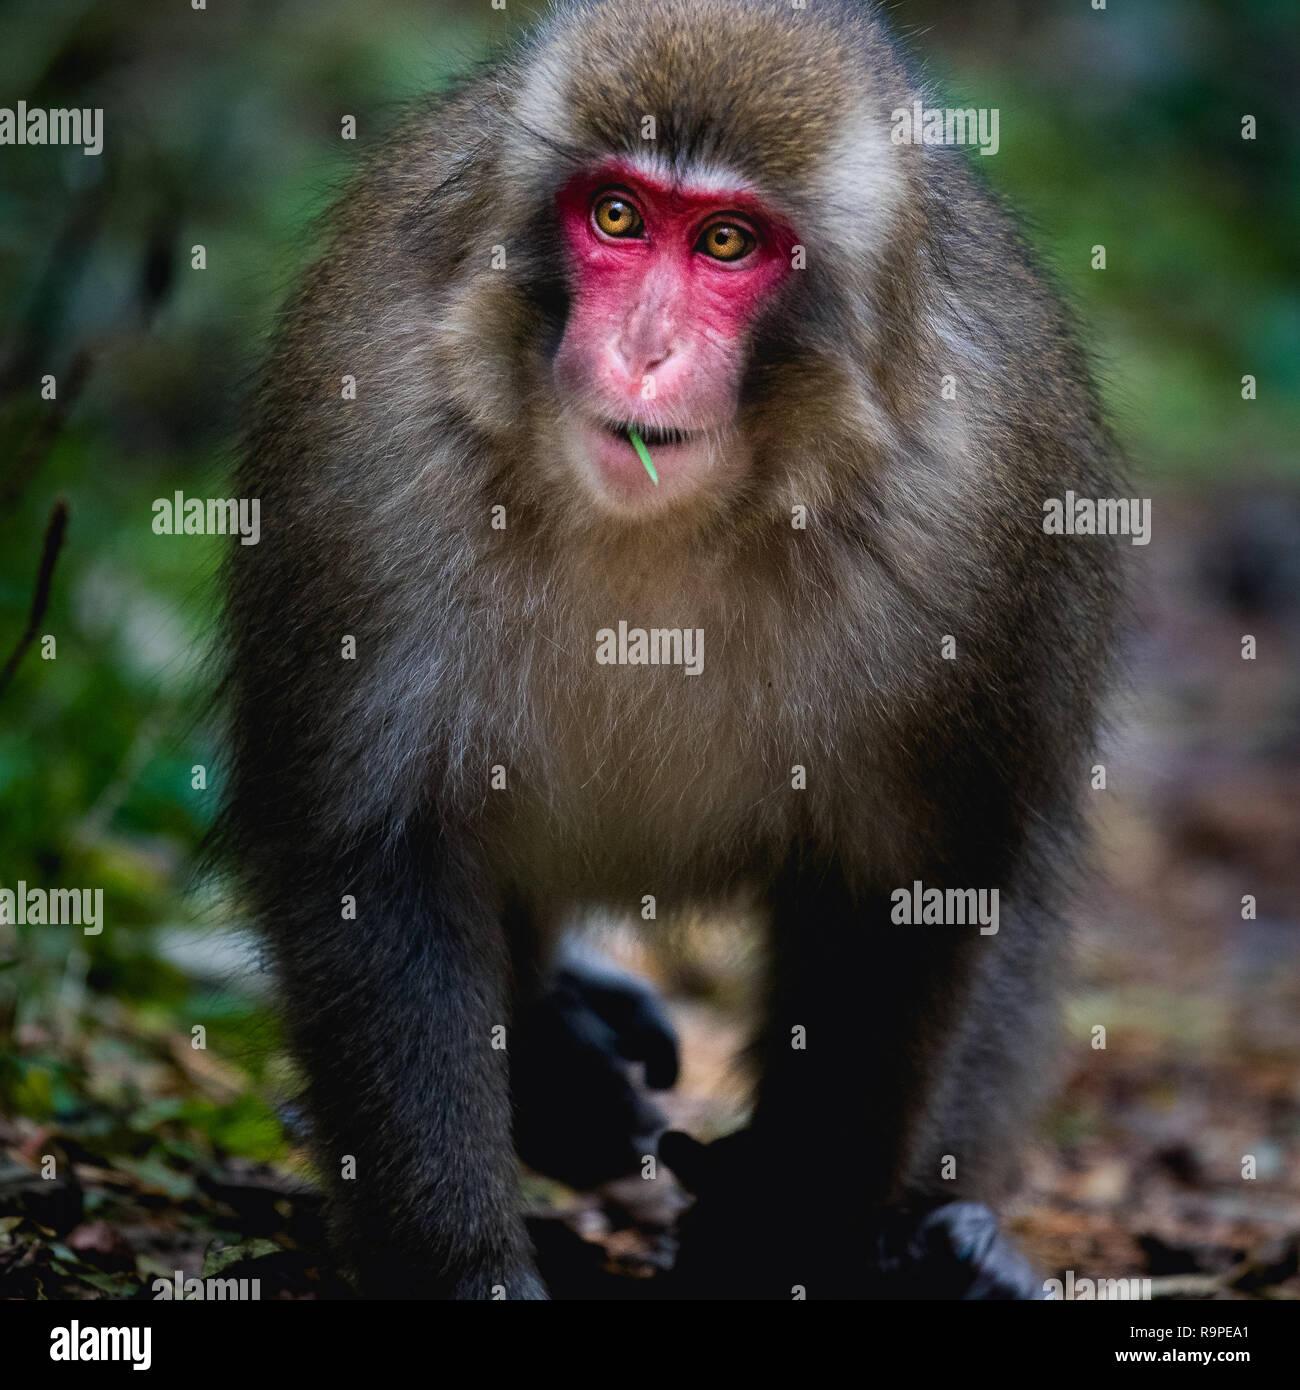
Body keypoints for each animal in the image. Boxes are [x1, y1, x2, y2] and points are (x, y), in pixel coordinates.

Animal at [222, 0, 1122, 1299]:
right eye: (616, 216)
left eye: (729, 243)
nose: (641, 353)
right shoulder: (370, 445)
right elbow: (374, 856)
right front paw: (462, 1265)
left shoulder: (973, 510)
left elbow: (905, 898)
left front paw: (780, 1240)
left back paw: (949, 1247)